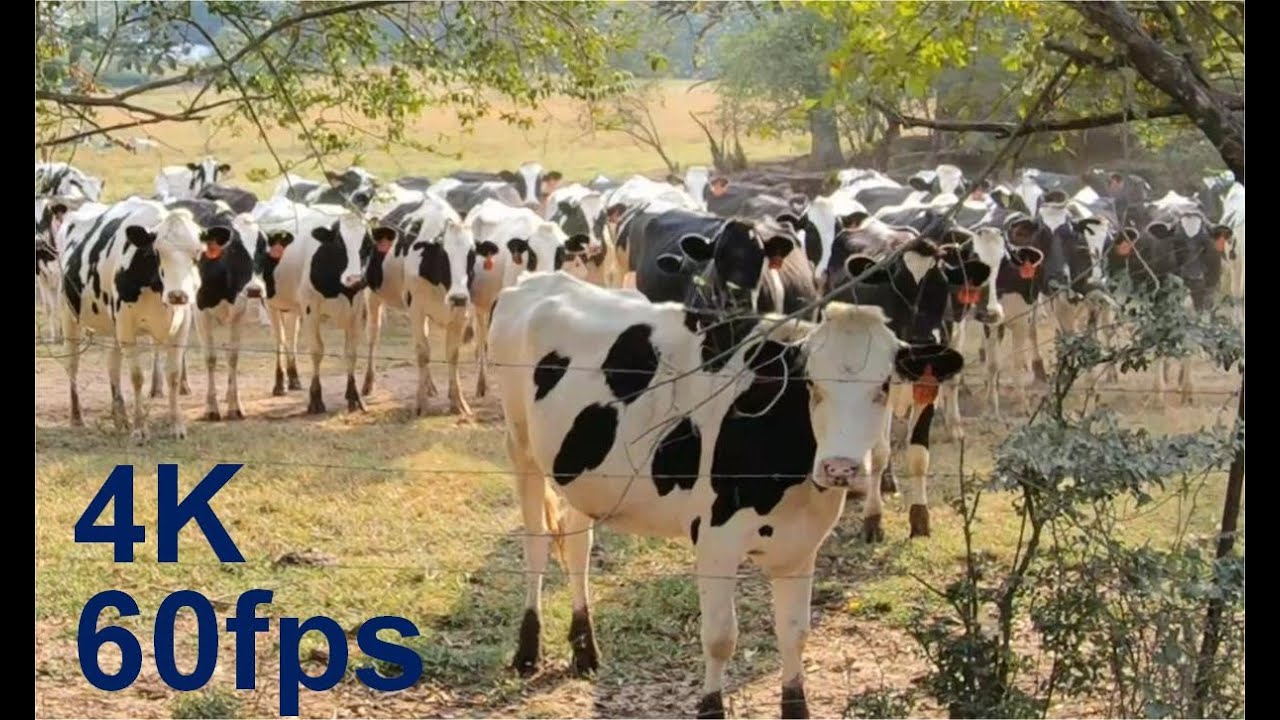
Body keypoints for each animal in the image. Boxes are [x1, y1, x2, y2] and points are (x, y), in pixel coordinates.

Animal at [59, 199, 204, 442]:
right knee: (73, 365)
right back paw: (77, 418)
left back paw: (121, 418)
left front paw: (177, 426)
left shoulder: (181, 326)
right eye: (157, 251)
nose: (178, 295)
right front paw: (139, 429)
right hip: (68, 314)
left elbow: (173, 375)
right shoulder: (126, 327)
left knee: (112, 364)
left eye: (197, 253)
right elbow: (137, 377)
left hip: (112, 327)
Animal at [163, 199, 267, 421]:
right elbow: (210, 358)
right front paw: (211, 408)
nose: (255, 289)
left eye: (263, 249)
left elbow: (233, 357)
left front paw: (234, 405)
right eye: (235, 250)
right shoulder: (201, 312)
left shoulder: (239, 312)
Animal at [256, 200, 373, 414]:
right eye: (338, 243)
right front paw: (316, 399)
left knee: (291, 337)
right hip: (270, 303)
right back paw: (280, 383)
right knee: (279, 339)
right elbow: (317, 350)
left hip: (293, 306)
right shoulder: (310, 309)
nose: (354, 279)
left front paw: (354, 396)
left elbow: (351, 352)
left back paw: (294, 378)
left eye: (367, 245)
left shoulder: (357, 310)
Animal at [489, 269, 964, 718]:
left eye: (883, 385)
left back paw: (585, 648)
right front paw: (710, 707)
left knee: (577, 546)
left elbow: (795, 633)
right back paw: (528, 650)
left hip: (581, 476)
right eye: (812, 384)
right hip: (521, 448)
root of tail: (538, 280)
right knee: (536, 545)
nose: (840, 468)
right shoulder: (716, 541)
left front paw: (796, 706)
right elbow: (720, 637)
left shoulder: (802, 546)